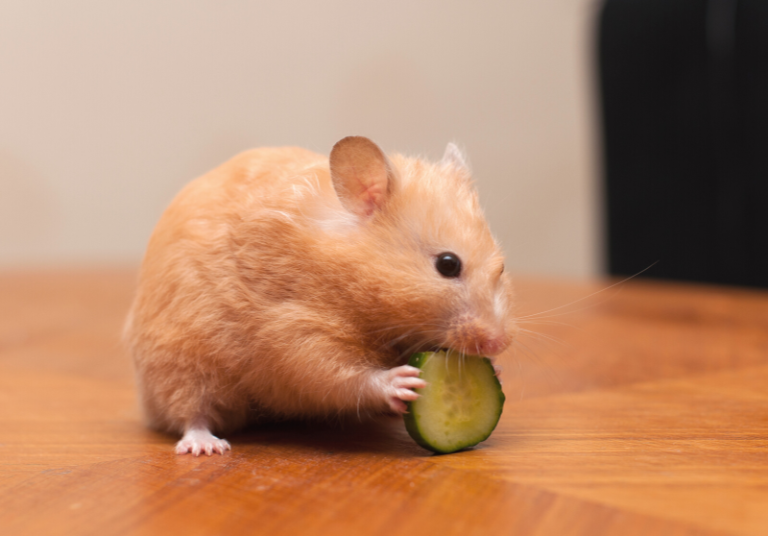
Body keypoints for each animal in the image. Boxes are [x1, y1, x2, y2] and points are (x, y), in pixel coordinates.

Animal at [124, 136, 515, 456]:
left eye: (502, 267)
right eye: (448, 265)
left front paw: (496, 370)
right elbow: (337, 374)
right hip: (178, 364)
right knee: (190, 412)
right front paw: (402, 382)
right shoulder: (293, 329)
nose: (499, 344)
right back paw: (206, 447)